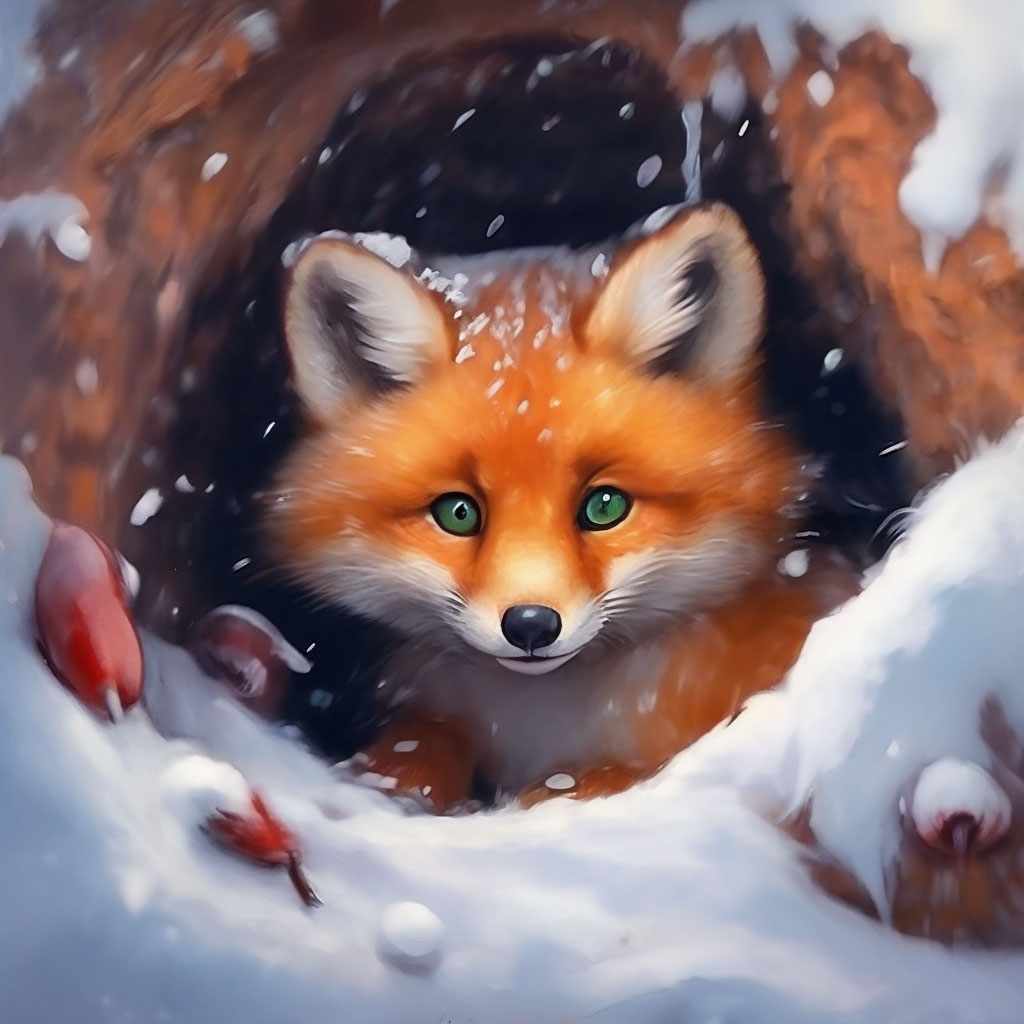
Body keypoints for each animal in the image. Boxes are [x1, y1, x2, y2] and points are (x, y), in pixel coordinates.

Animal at [265, 202, 856, 811]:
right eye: (458, 513)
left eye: (605, 506)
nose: (530, 626)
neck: (545, 720)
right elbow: (423, 739)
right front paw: (399, 780)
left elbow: (601, 780)